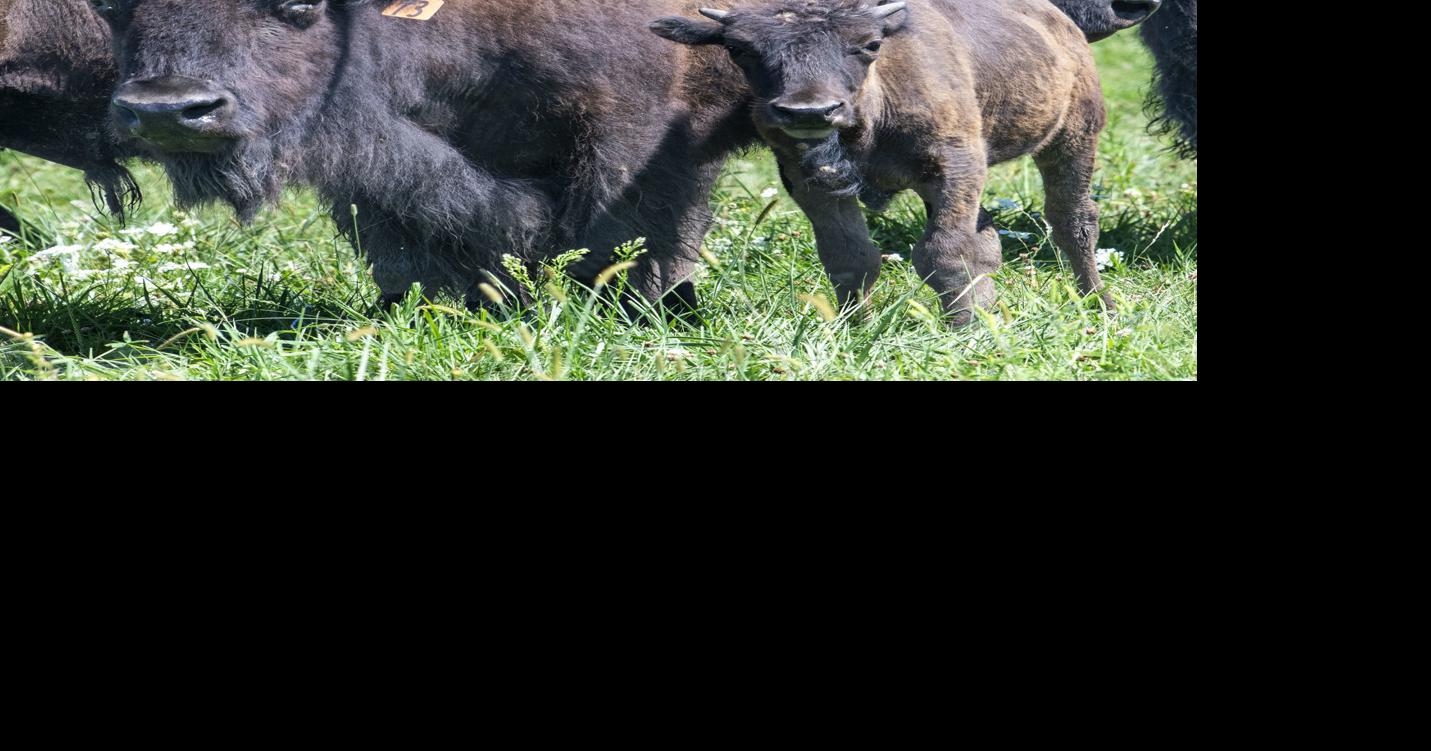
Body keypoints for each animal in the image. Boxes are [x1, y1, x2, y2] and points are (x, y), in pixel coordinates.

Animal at [651, 0, 1115, 322]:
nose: (809, 110)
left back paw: (1099, 303)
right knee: (989, 238)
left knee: (1073, 221)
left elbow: (944, 253)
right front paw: (855, 326)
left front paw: (963, 330)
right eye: (738, 48)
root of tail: (1060, 23)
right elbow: (850, 257)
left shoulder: (956, 168)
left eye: (870, 45)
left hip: (1074, 137)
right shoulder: (812, 183)